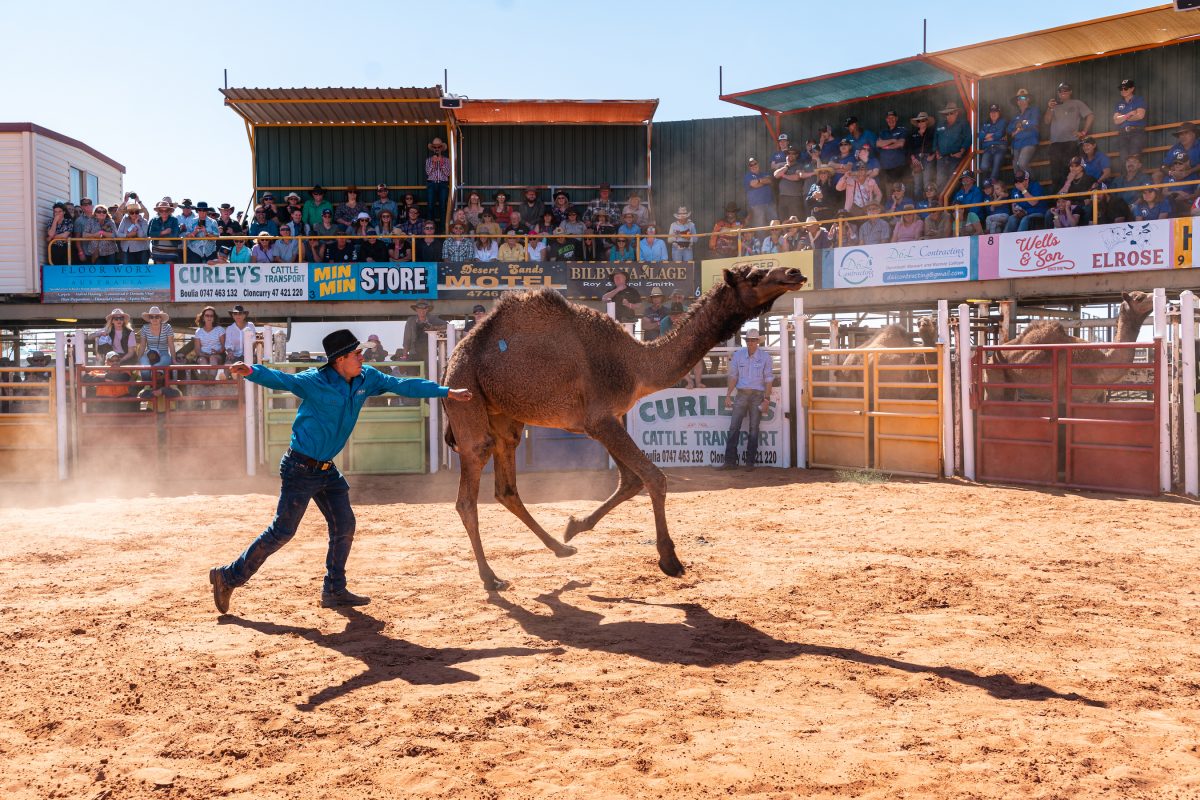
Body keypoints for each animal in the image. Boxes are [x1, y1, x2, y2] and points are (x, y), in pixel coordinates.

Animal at [441, 264, 808, 591]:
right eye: (755, 275)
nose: (794, 273)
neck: (636, 364)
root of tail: (449, 364)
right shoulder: (600, 418)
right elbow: (655, 478)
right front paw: (670, 561)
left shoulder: (609, 420)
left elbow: (631, 481)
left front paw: (573, 526)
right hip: (466, 393)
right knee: (469, 490)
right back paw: (491, 577)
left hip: (505, 416)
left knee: (506, 484)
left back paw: (561, 548)